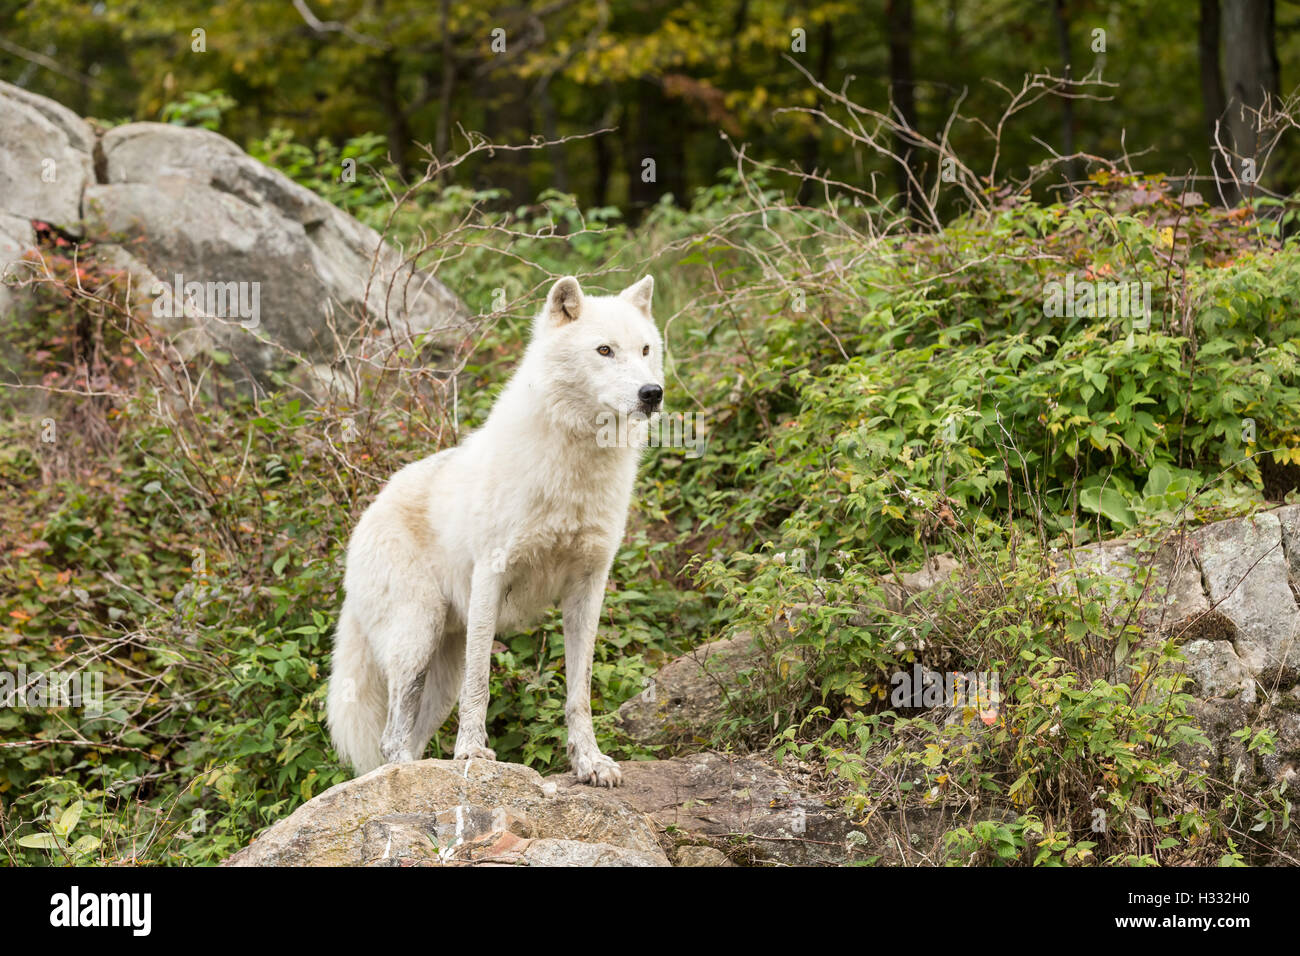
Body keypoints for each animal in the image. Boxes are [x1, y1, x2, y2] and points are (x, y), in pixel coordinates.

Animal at [326, 275, 663, 786]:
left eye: (645, 349)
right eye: (604, 350)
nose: (652, 392)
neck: (576, 468)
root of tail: (367, 514)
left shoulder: (588, 589)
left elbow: (579, 694)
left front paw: (589, 762)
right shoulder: (490, 575)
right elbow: (481, 685)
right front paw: (471, 753)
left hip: (440, 675)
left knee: (409, 740)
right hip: (417, 639)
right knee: (391, 740)